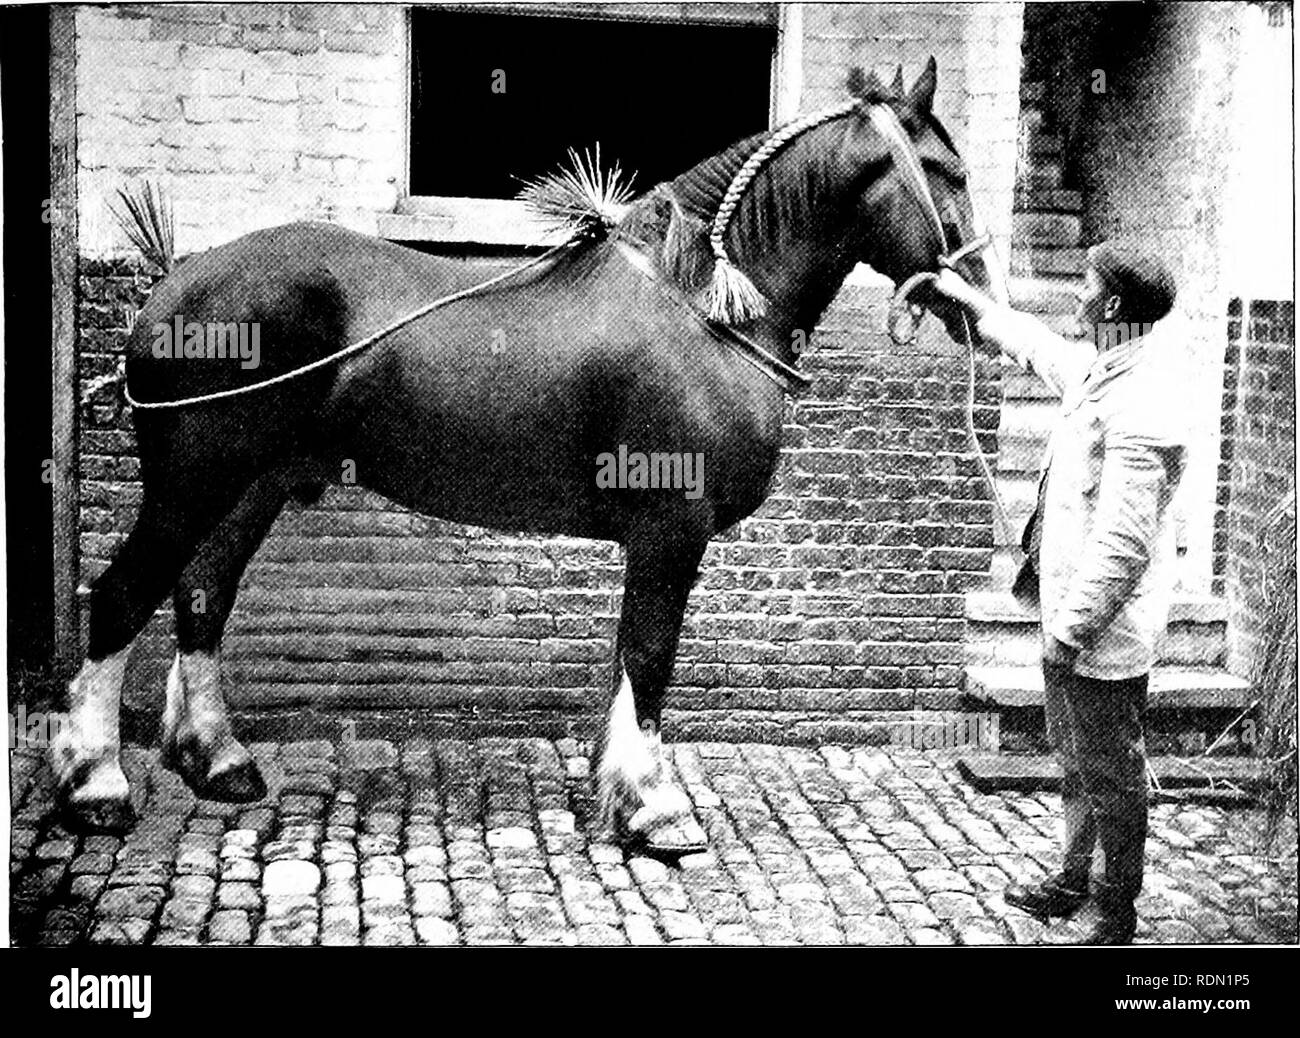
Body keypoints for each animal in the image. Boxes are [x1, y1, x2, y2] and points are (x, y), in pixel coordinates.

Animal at [53, 59, 1006, 853]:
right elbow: (648, 658)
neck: (703, 304)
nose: (986, 306)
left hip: (251, 486)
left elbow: (625, 658)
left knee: (203, 595)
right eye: (950, 172)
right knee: (124, 597)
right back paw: (97, 787)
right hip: (193, 483)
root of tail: (176, 283)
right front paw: (654, 810)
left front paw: (621, 795)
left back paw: (217, 760)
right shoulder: (672, 528)